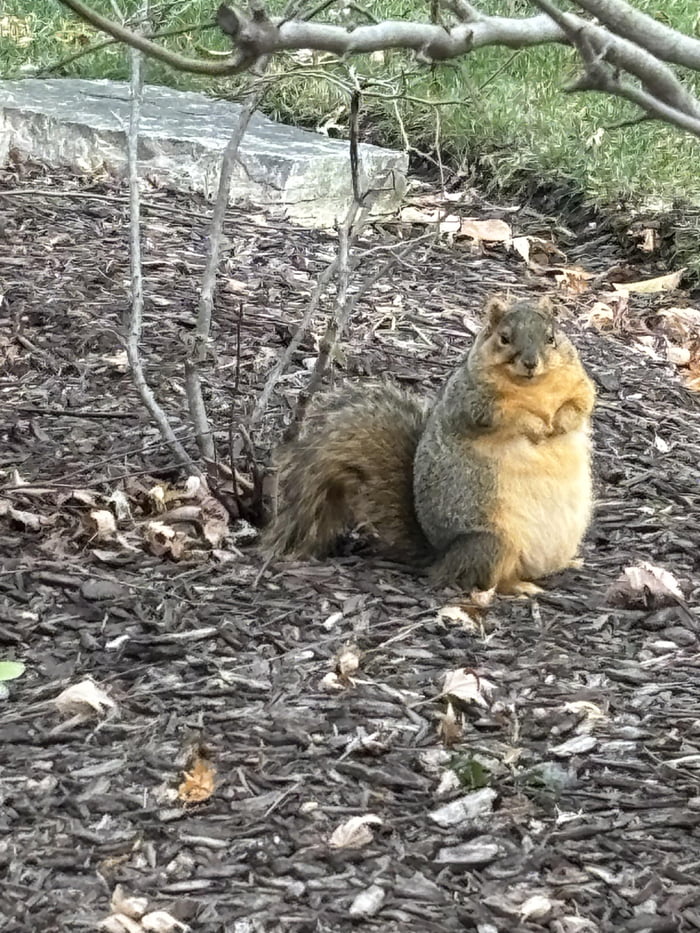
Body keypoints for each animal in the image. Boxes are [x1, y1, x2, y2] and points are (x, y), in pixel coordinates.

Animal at [263, 294, 596, 596]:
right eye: (504, 338)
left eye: (551, 338)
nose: (530, 363)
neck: (533, 387)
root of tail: (440, 557)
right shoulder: (473, 403)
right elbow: (504, 418)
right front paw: (537, 427)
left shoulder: (580, 384)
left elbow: (582, 404)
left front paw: (560, 423)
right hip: (492, 544)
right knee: (488, 580)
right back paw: (521, 586)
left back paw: (569, 564)